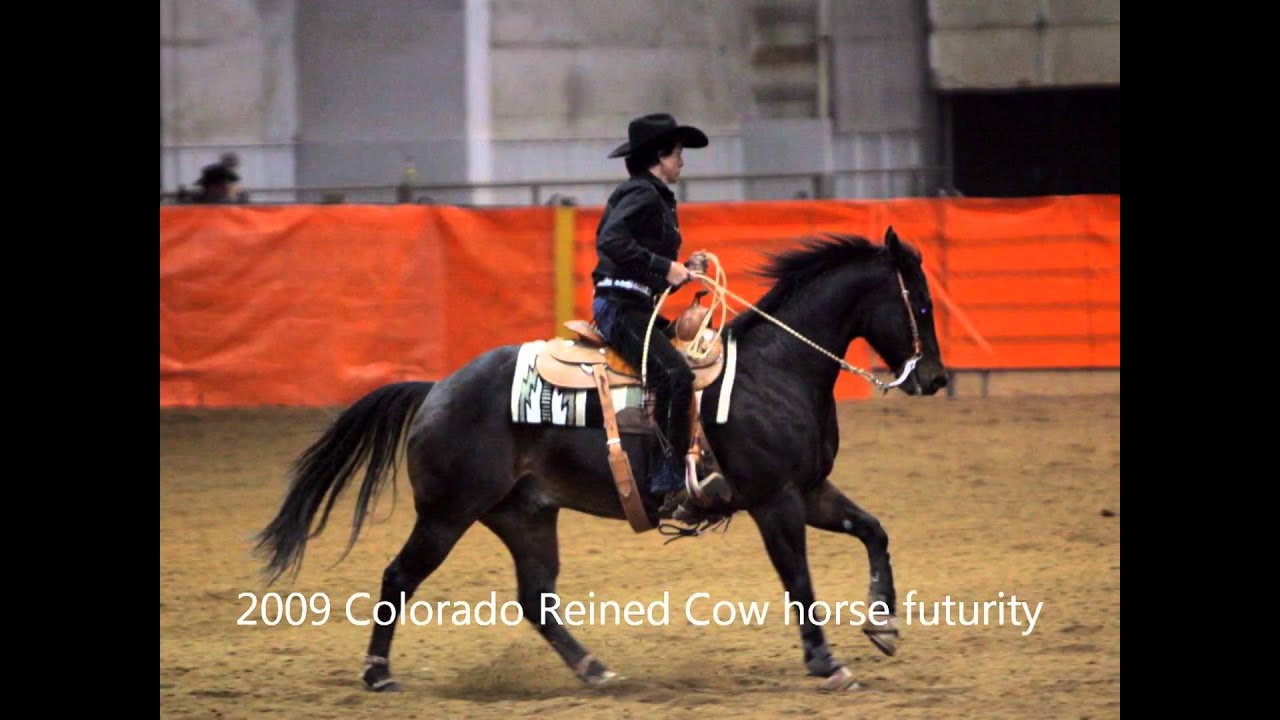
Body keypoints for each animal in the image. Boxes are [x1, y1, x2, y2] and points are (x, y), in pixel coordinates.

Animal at [254, 226, 949, 692]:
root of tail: (437, 389)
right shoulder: (774, 500)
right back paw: (377, 673)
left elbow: (873, 530)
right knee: (399, 578)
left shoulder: (809, 490)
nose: (936, 378)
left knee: (536, 598)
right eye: (920, 304)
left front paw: (883, 625)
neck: (773, 372)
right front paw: (827, 662)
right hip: (447, 513)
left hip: (525, 514)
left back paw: (596, 670)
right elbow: (798, 582)